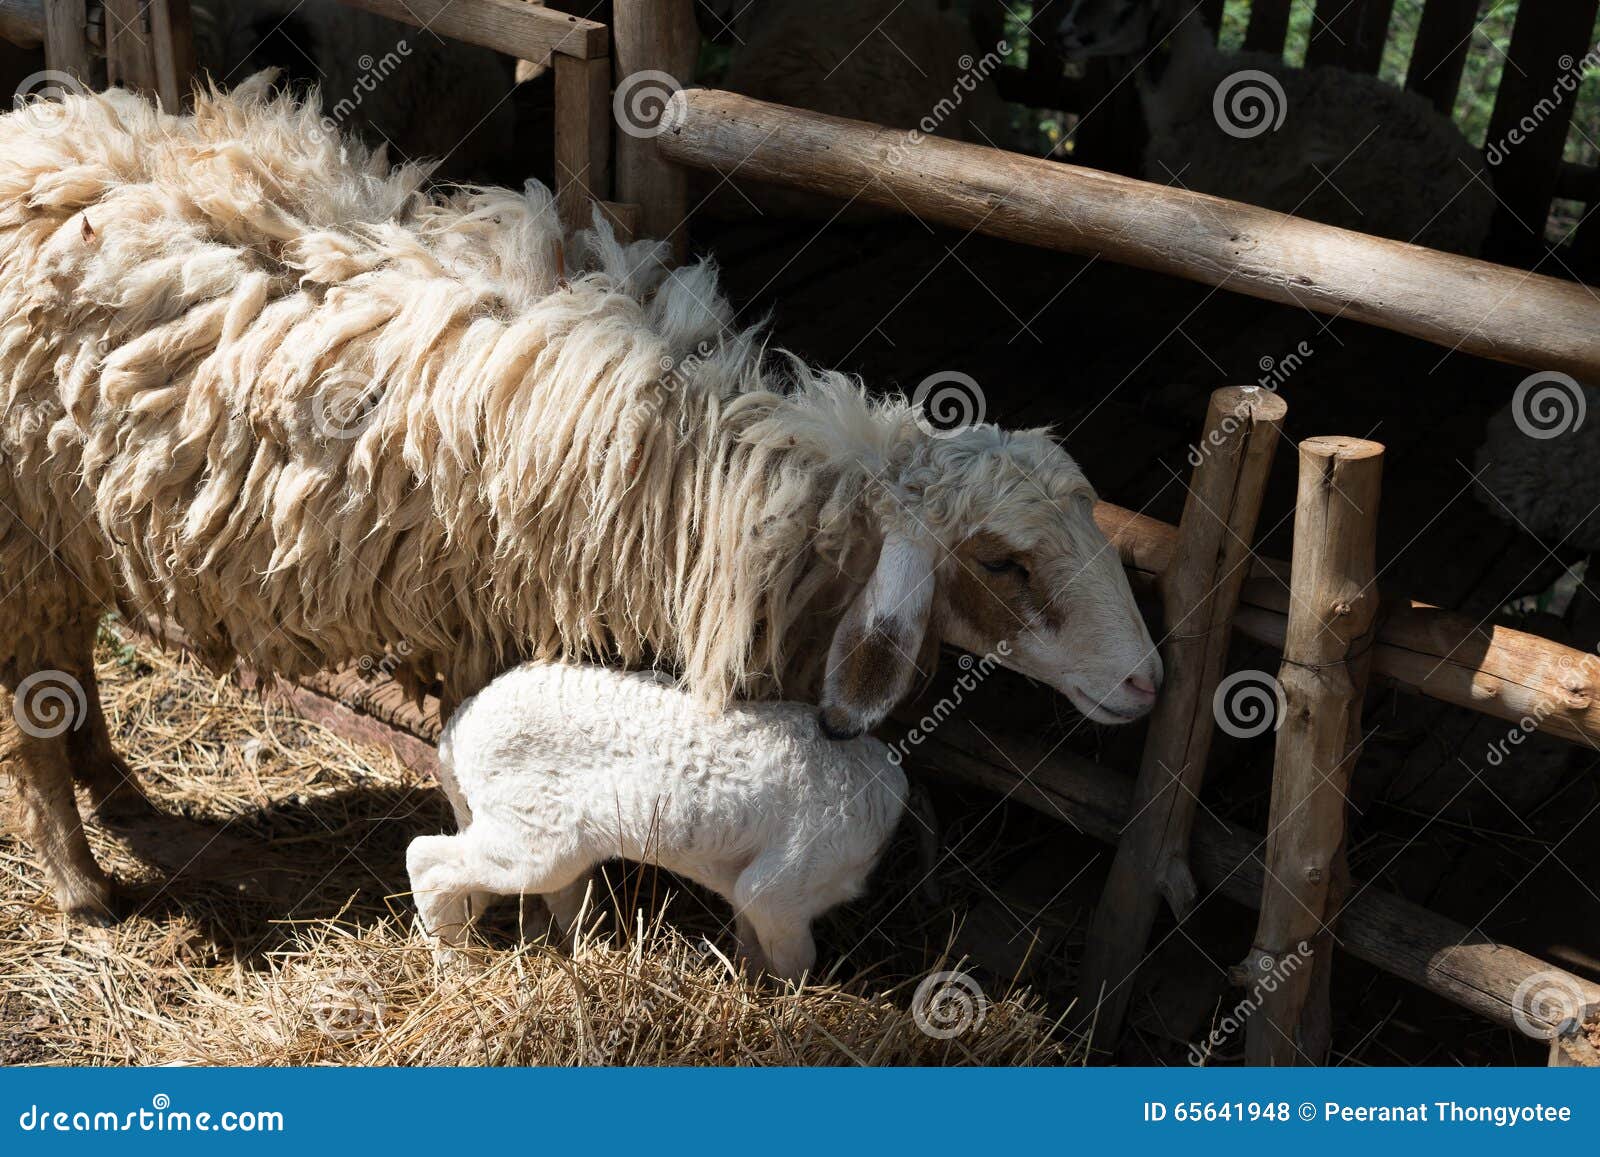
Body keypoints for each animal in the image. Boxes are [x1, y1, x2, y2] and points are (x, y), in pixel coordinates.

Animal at [0, 76, 1160, 924]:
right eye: (1004, 561)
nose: (1145, 681)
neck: (700, 487)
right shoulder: (493, 623)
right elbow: (502, 768)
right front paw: (564, 922)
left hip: (69, 536)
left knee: (70, 673)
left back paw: (118, 786)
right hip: (22, 540)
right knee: (31, 723)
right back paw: (83, 883)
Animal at [408, 660, 908, 979]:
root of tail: (456, 734)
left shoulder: (752, 889)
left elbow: (751, 942)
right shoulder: (785, 884)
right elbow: (795, 964)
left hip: (514, 823)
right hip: (534, 837)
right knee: (425, 860)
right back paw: (458, 967)